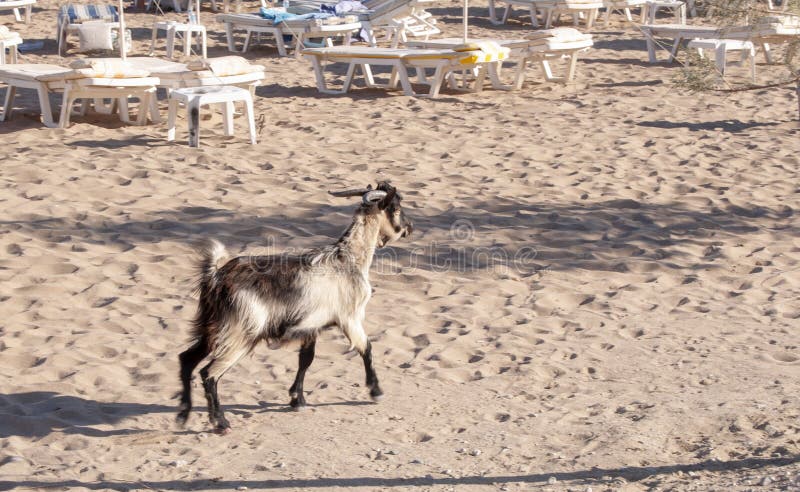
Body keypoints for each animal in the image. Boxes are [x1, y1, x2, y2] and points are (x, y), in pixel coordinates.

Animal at [176, 182, 413, 433]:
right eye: (396, 208)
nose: (410, 228)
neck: (348, 259)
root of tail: (216, 277)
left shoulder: (311, 326)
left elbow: (306, 359)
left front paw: (296, 399)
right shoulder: (350, 318)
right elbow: (366, 348)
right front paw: (375, 391)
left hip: (211, 328)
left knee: (187, 360)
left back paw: (183, 413)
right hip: (239, 333)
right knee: (209, 373)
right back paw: (219, 421)